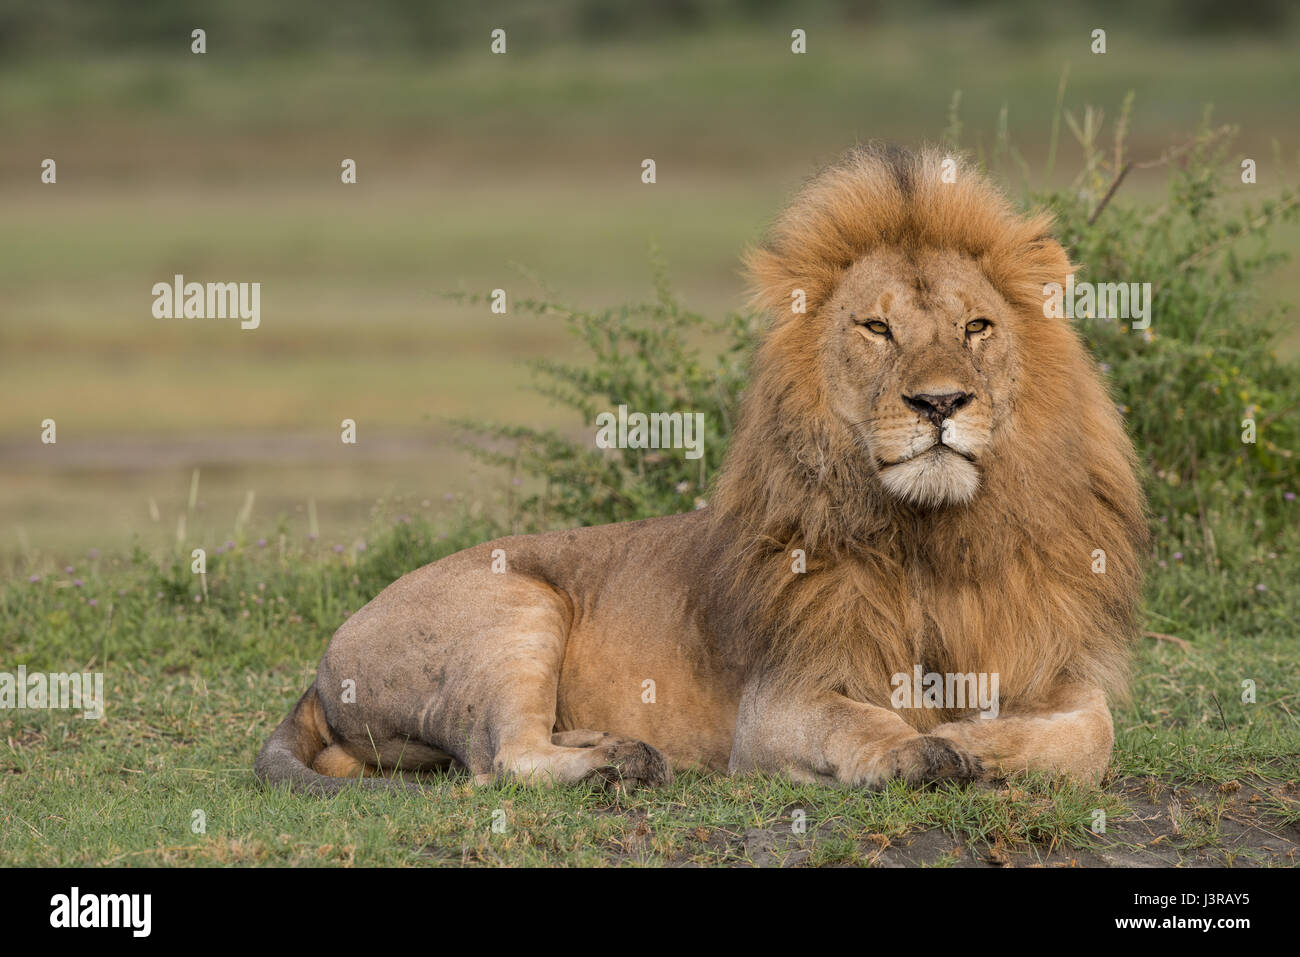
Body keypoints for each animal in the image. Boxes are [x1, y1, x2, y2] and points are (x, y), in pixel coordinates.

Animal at [256, 145, 1146, 794]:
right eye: (877, 328)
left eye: (977, 326)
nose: (940, 402)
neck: (933, 539)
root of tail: (322, 666)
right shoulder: (778, 700)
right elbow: (858, 723)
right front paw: (926, 746)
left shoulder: (1050, 660)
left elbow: (1090, 733)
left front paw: (977, 737)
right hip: (515, 605)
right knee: (499, 760)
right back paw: (622, 761)